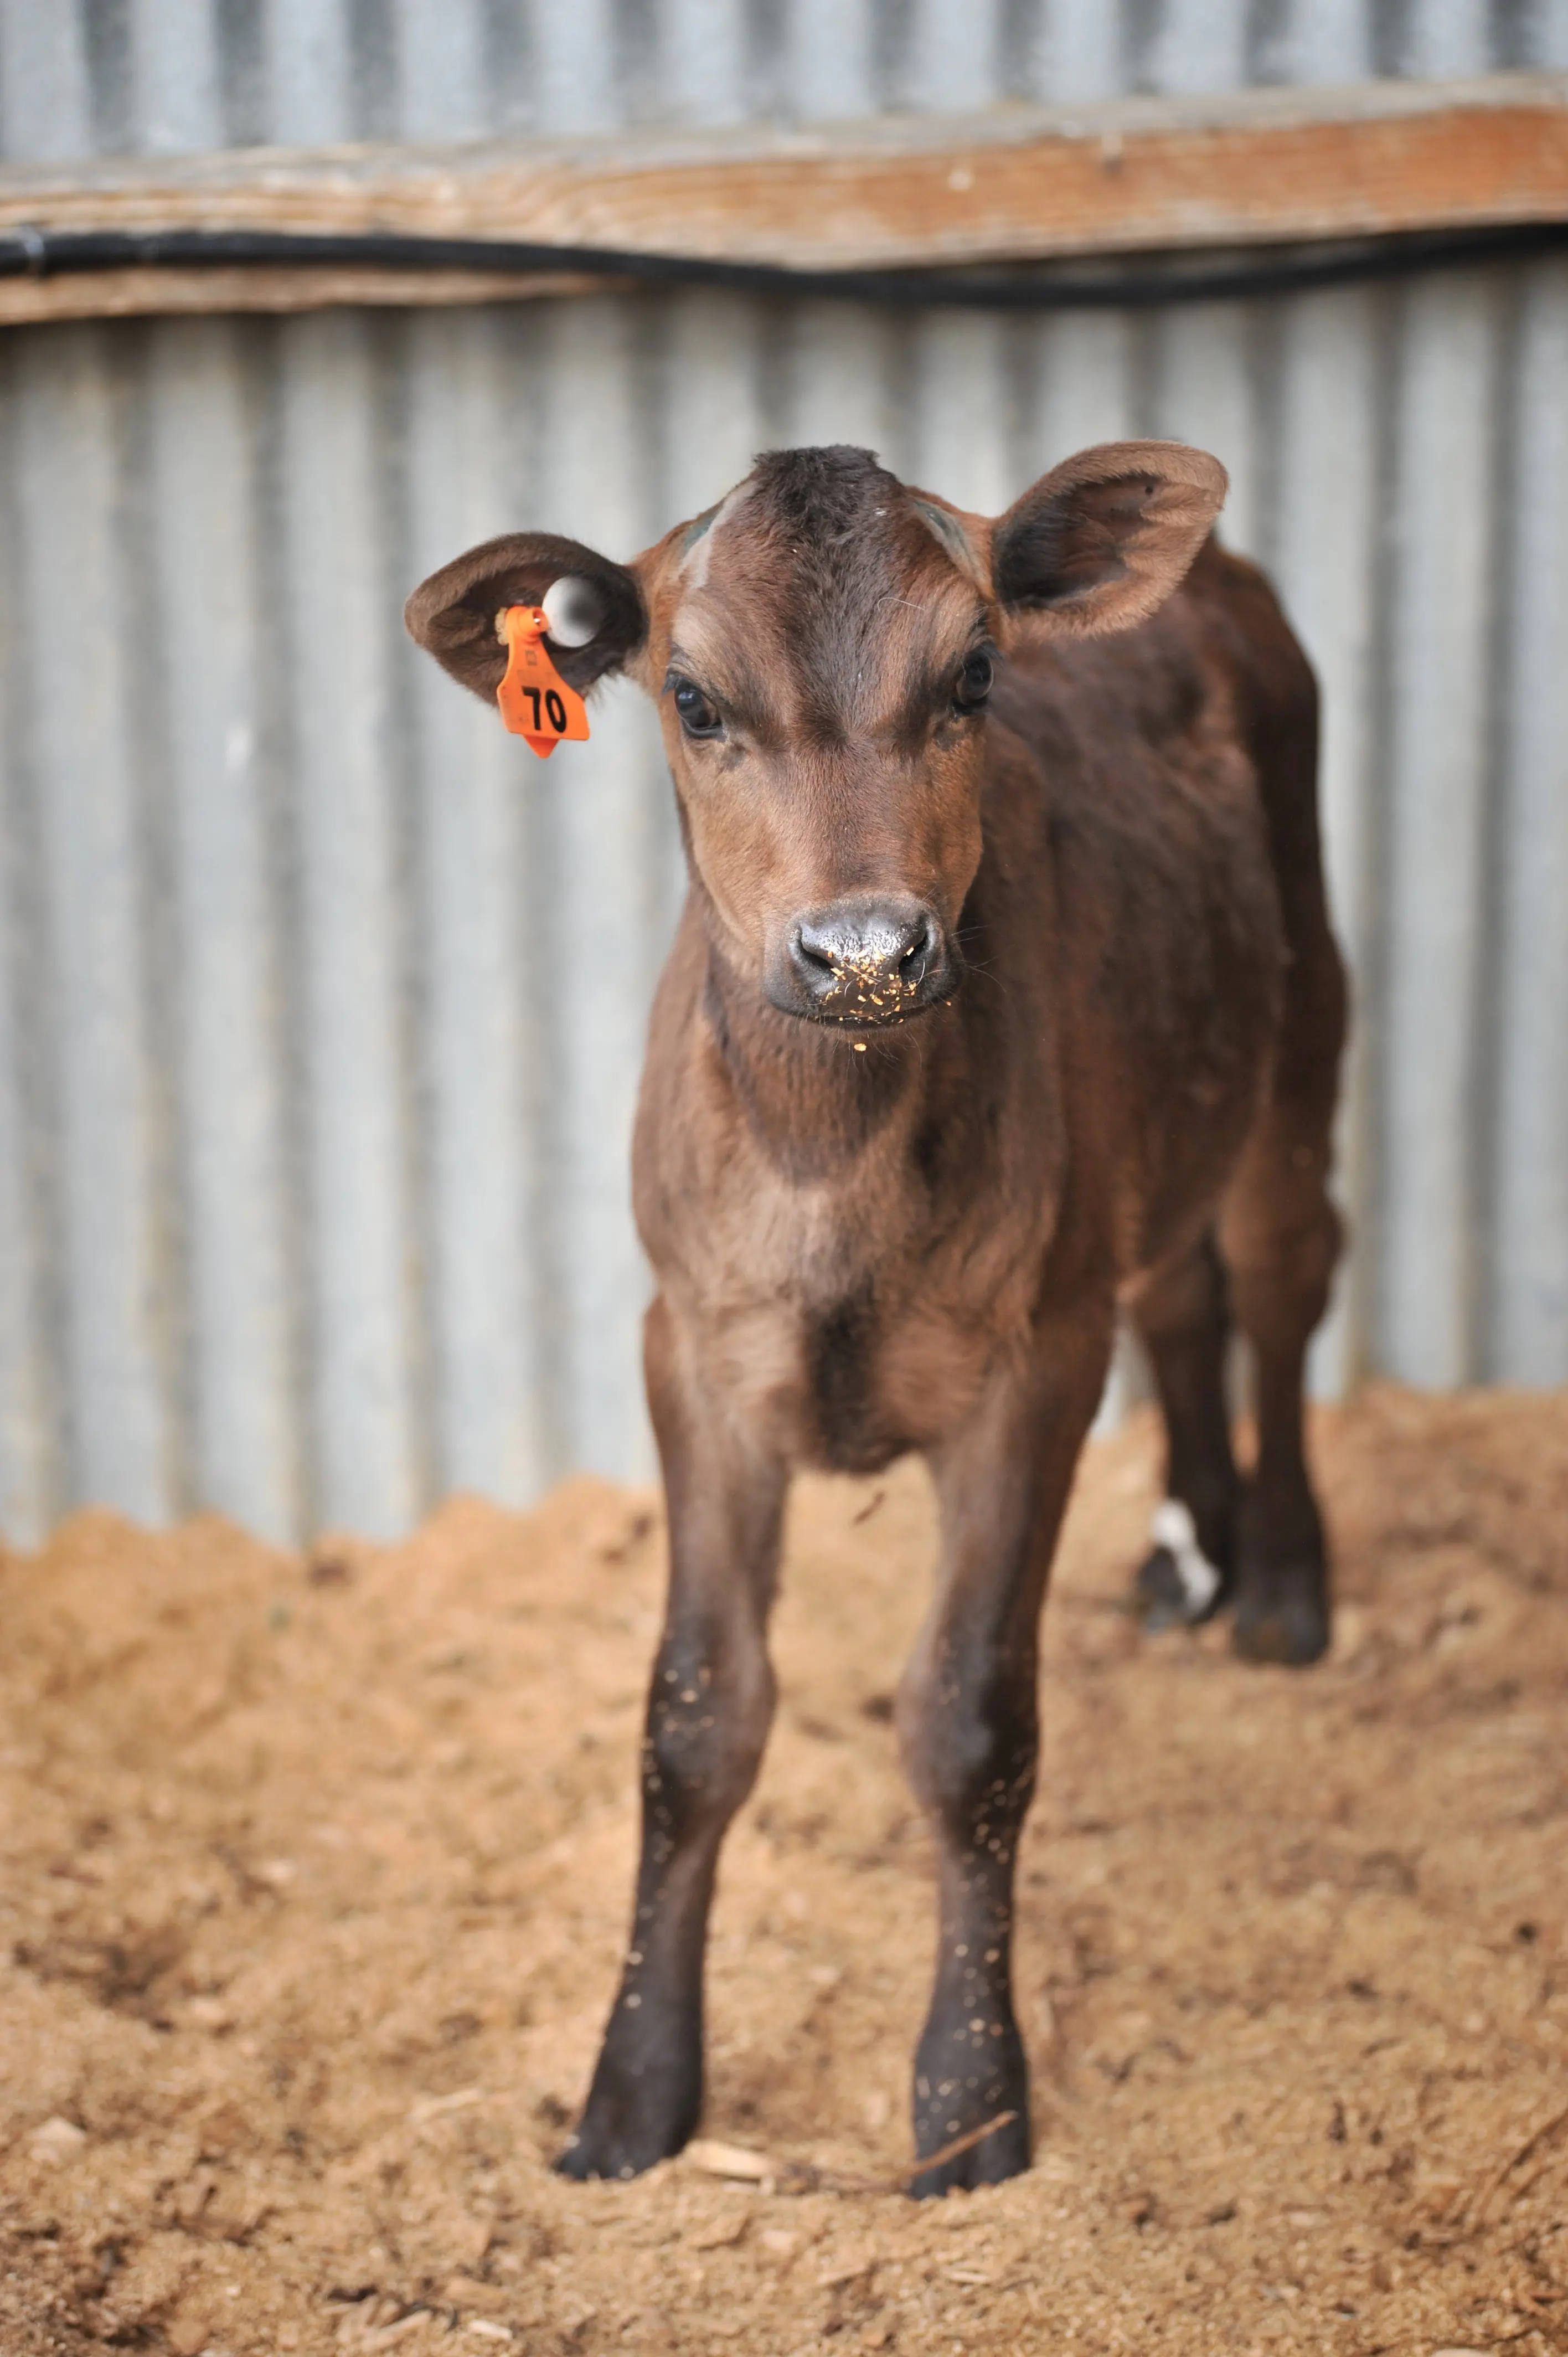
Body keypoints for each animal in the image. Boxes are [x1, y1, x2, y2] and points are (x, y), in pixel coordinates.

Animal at [405, 438, 1347, 2196]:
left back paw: (1279, 1581)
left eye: (973, 675)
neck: (829, 1163)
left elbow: (968, 1723)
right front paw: (631, 2099)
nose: (862, 954)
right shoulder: (693, 1349)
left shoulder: (1035, 1362)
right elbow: (695, 1719)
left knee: (1276, 1272)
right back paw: (1187, 1553)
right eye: (692, 697)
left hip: (1302, 1015)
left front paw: (970, 2107)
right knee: (1182, 1288)